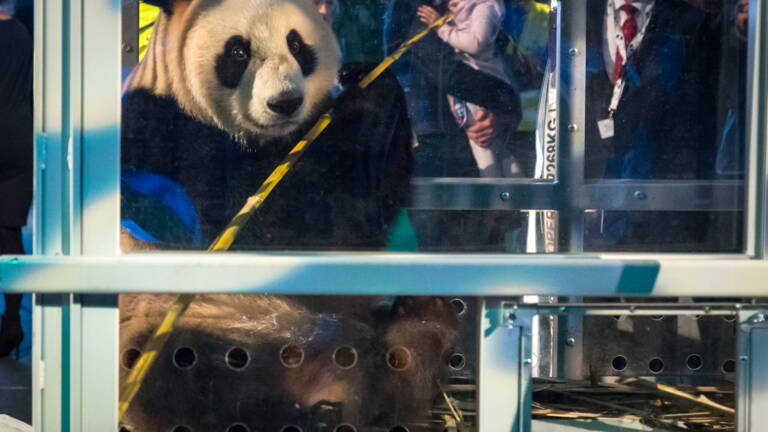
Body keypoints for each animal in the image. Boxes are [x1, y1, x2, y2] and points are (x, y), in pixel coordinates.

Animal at [120, 1, 461, 431]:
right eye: (238, 51)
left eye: (297, 44)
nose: (285, 103)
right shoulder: (161, 133)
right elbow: (270, 228)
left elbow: (356, 224)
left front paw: (368, 84)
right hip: (174, 332)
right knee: (188, 376)